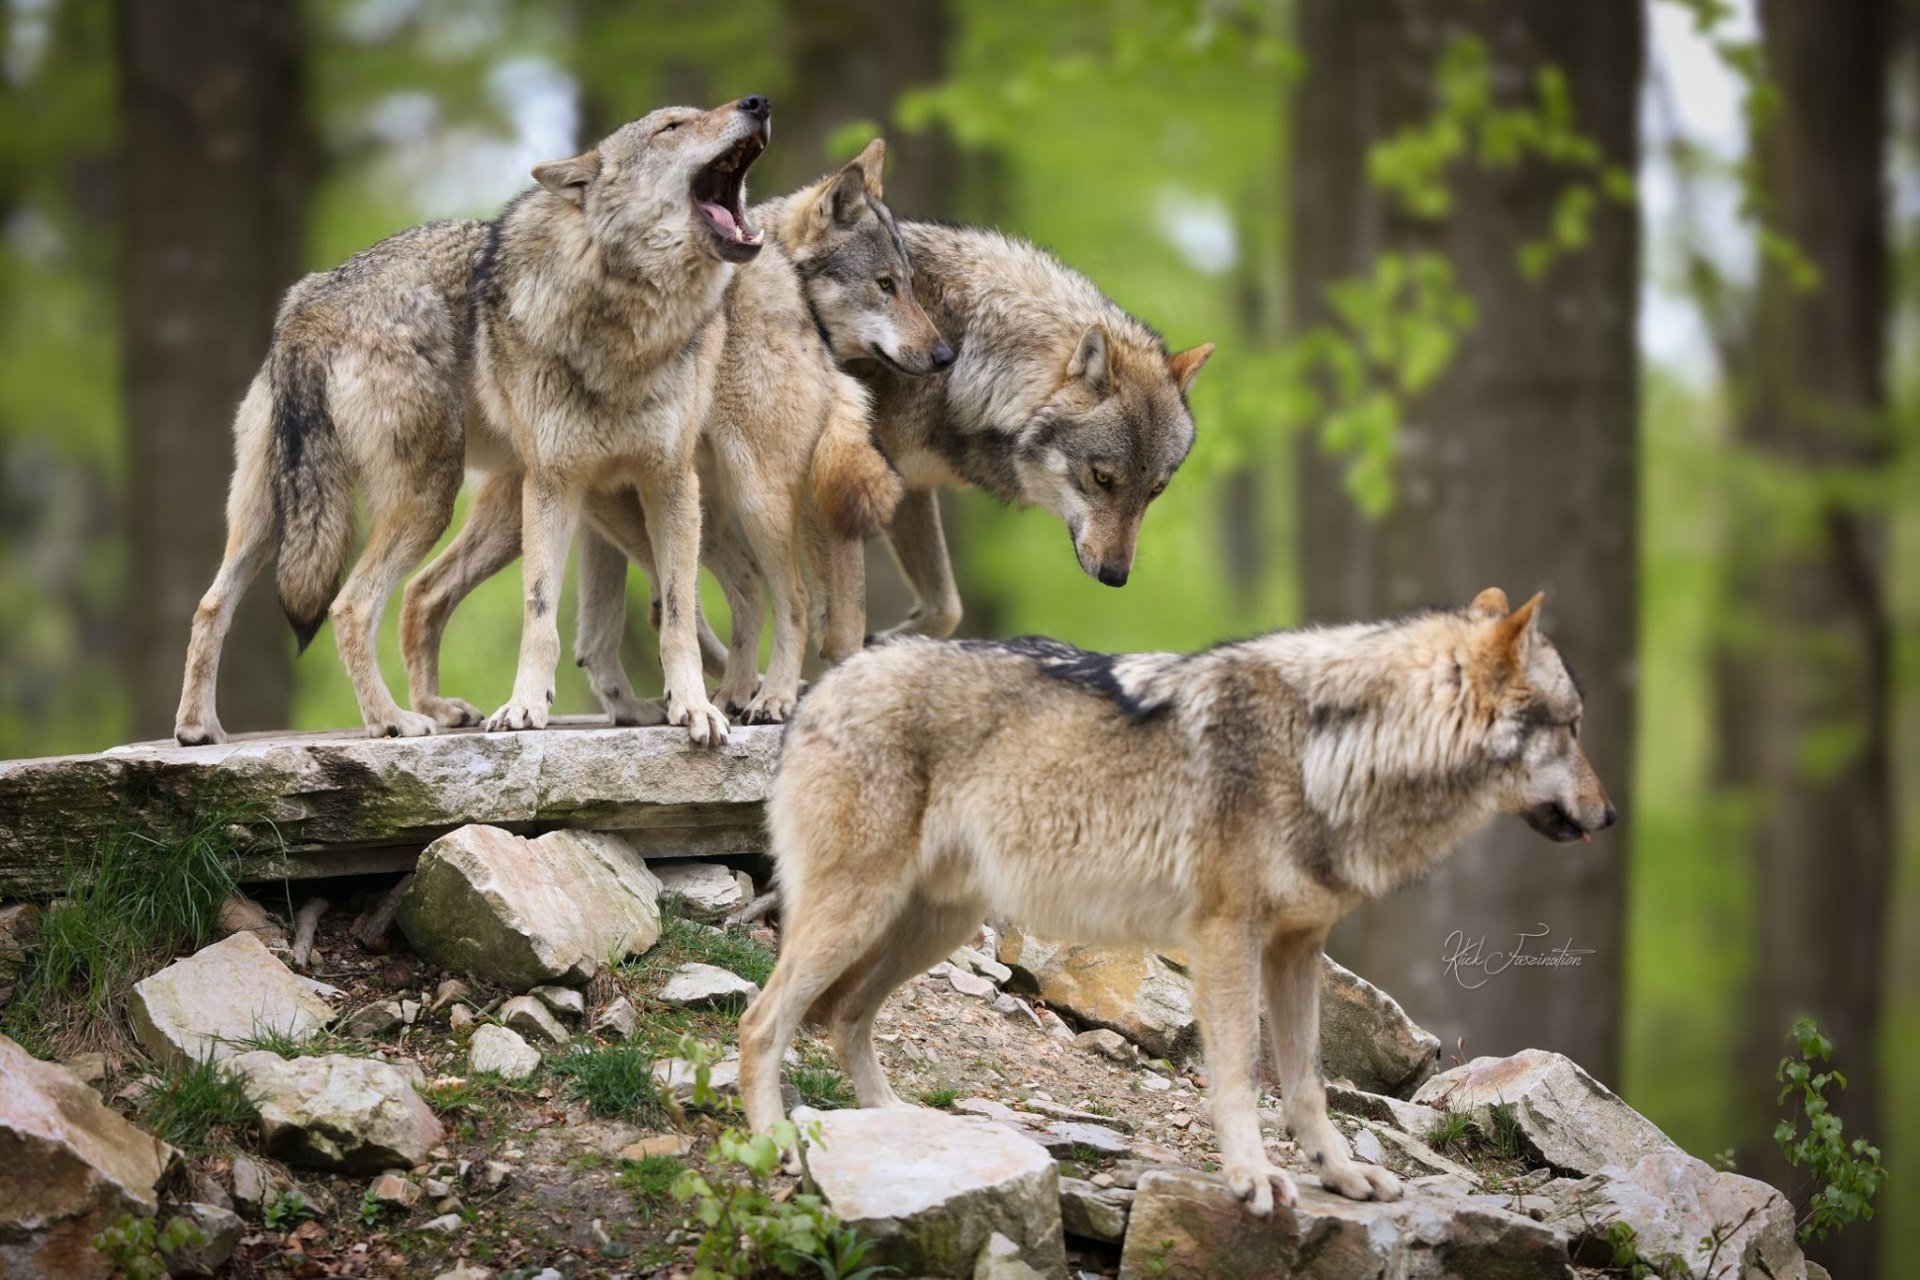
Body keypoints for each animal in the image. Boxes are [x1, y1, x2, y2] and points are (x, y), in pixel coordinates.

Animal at [173, 95, 774, 747]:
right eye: (672, 126)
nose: (757, 102)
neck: (626, 315)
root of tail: (309, 304)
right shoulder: (561, 484)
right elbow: (544, 614)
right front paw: (526, 709)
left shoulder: (660, 482)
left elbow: (677, 610)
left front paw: (696, 706)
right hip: (429, 501)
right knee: (352, 606)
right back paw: (393, 721)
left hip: (285, 520)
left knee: (232, 604)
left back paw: (202, 729)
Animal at [738, 587, 1616, 1216]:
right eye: (1572, 728)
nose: (1609, 817)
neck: (1333, 749)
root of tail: (824, 684)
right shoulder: (1227, 937)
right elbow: (1239, 1075)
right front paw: (1254, 1180)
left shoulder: (1299, 948)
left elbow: (1304, 1083)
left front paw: (1339, 1175)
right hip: (857, 914)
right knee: (763, 1022)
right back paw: (773, 1141)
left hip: (932, 928)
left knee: (847, 1017)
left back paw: (897, 1126)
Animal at [853, 226, 1216, 639]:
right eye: (1102, 478)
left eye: (1155, 490)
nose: (1115, 576)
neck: (965, 360)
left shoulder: (910, 486)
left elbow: (948, 609)